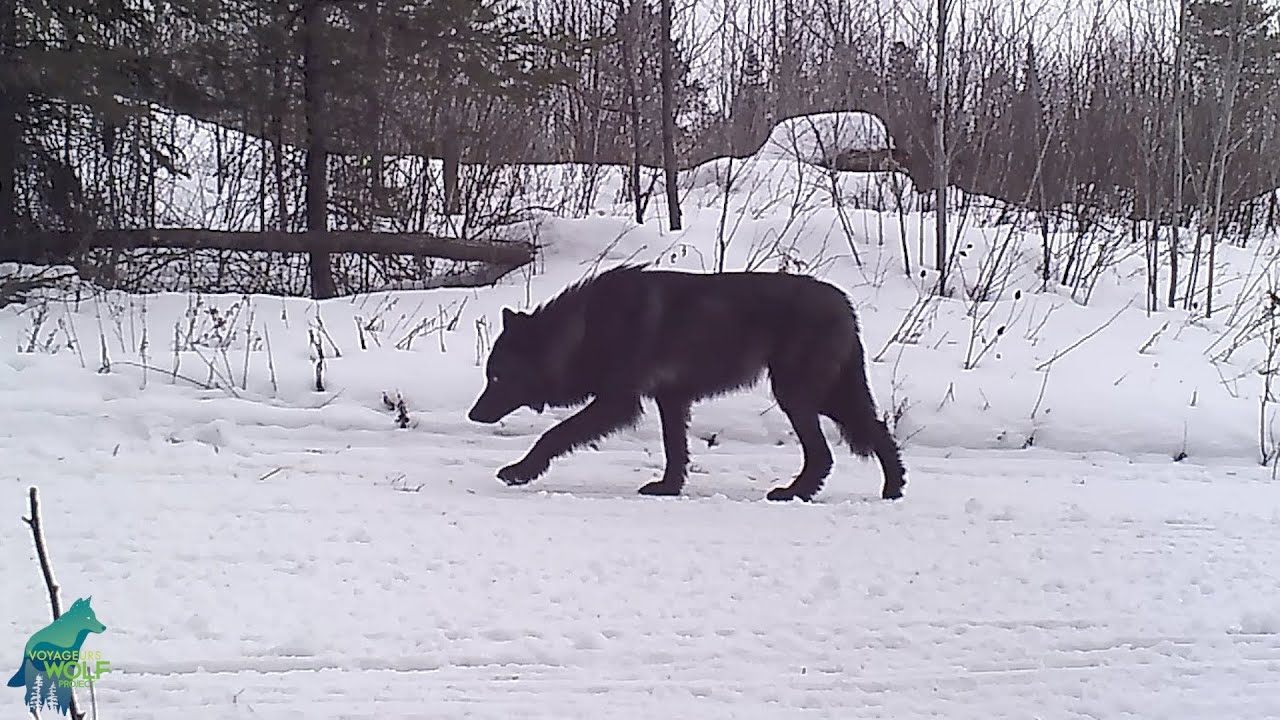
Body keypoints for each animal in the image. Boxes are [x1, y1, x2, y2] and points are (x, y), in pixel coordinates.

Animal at [467, 264, 906, 502]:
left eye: (497, 375)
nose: (473, 415)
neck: (585, 329)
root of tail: (844, 302)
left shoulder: (618, 402)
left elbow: (554, 435)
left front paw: (520, 471)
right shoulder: (670, 399)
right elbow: (675, 450)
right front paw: (668, 487)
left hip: (797, 395)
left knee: (824, 454)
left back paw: (794, 493)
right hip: (826, 396)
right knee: (876, 429)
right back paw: (893, 488)